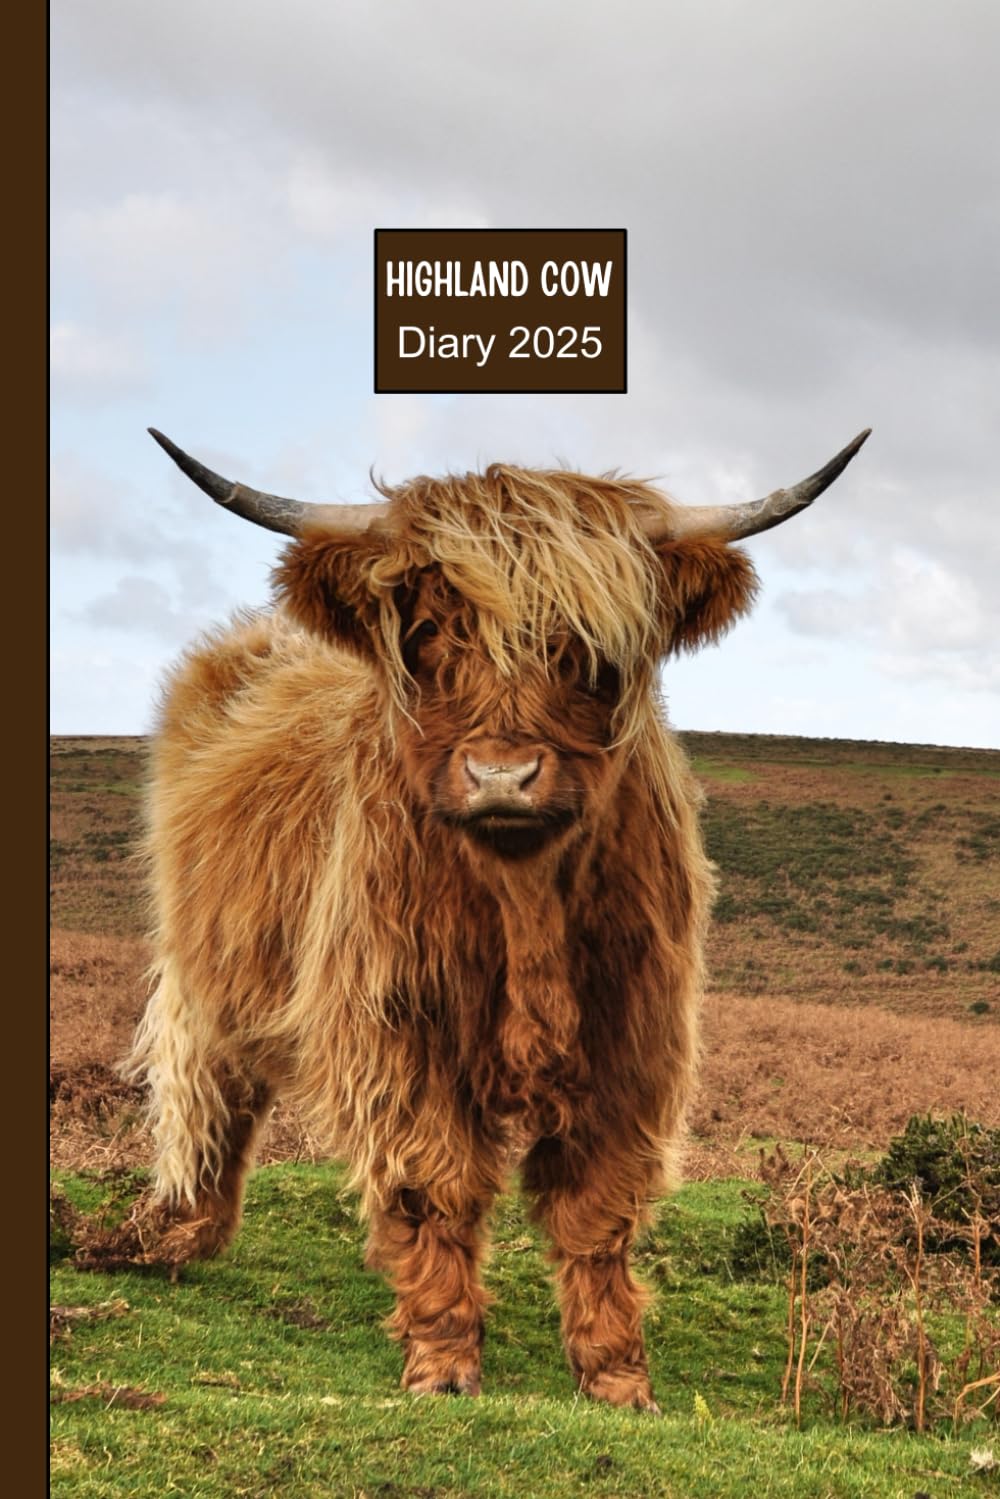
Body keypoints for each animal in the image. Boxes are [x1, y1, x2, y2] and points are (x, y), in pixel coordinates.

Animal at [128, 426, 869, 1412]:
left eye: (590, 647)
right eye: (431, 631)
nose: (503, 776)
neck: (523, 899)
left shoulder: (632, 1037)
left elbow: (596, 1208)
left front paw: (618, 1375)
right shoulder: (400, 1028)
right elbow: (432, 1185)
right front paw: (442, 1362)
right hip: (204, 964)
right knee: (207, 1087)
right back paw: (177, 1231)